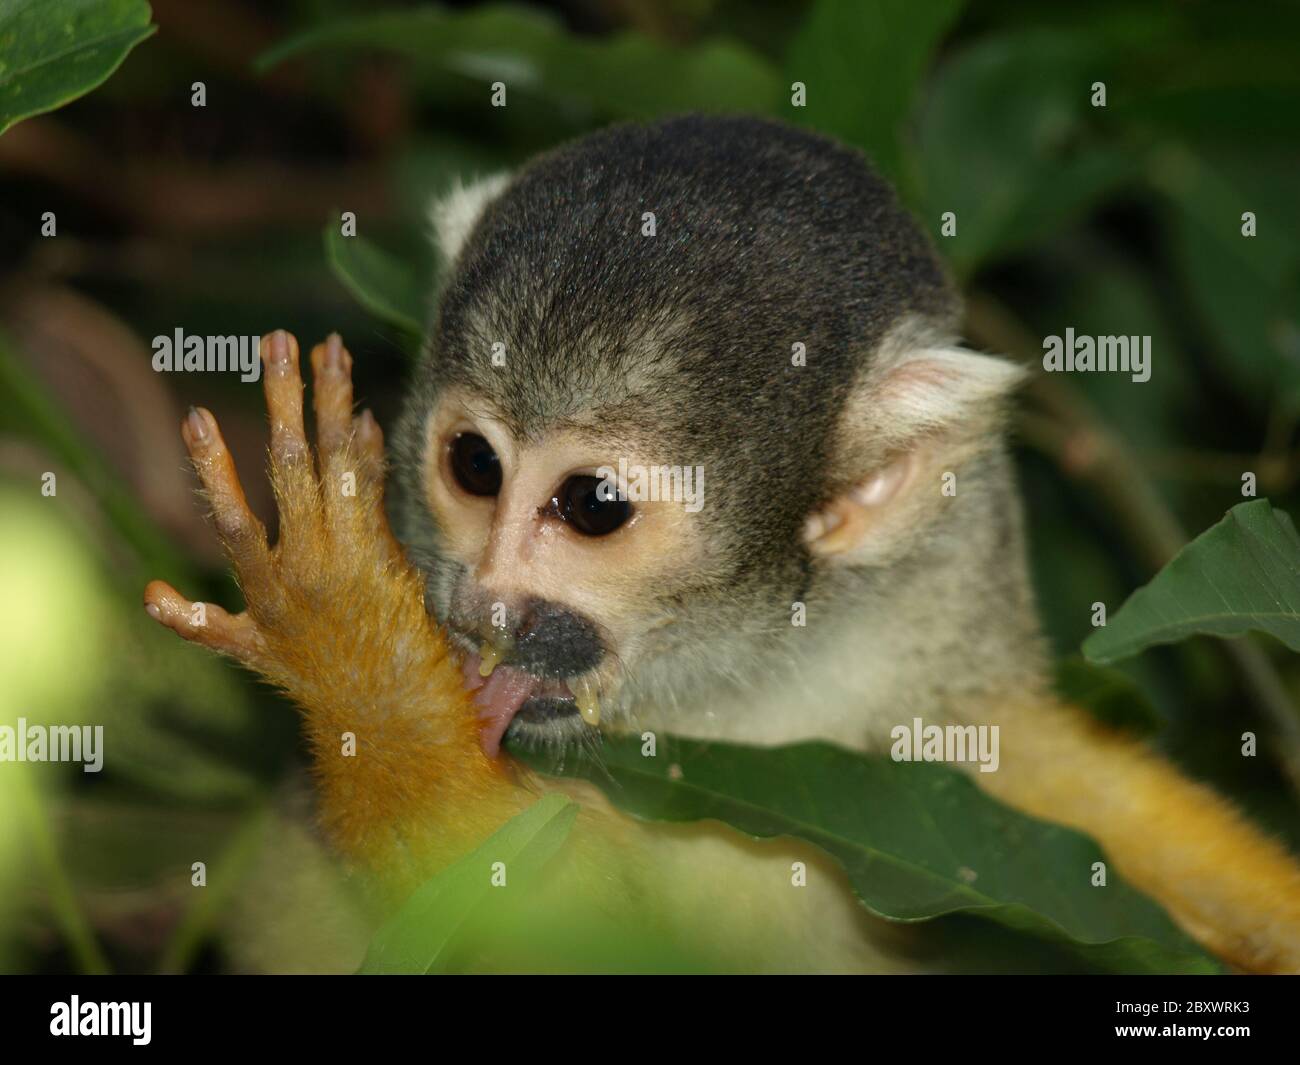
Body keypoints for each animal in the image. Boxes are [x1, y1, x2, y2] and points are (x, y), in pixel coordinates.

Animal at [144, 115, 1300, 973]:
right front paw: (364, 667)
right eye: (474, 465)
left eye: (592, 505)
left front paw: (355, 654)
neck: (738, 686)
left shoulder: (950, 634)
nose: (483, 608)